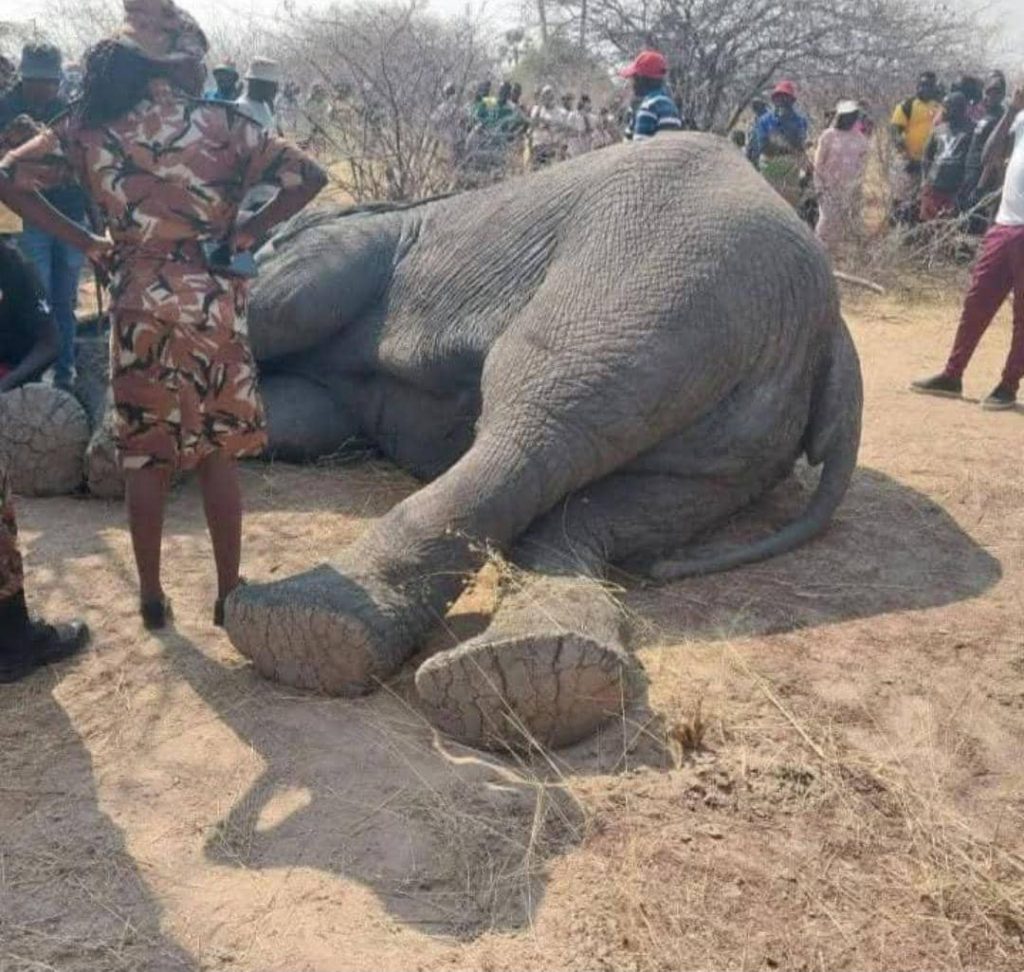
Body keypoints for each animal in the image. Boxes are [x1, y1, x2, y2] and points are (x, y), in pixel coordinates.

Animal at [225, 133, 863, 751]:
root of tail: (831, 323)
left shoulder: (334, 251)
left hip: (665, 267)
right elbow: (290, 413)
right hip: (752, 412)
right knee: (608, 497)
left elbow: (273, 308)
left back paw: (306, 630)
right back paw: (535, 682)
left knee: (538, 415)